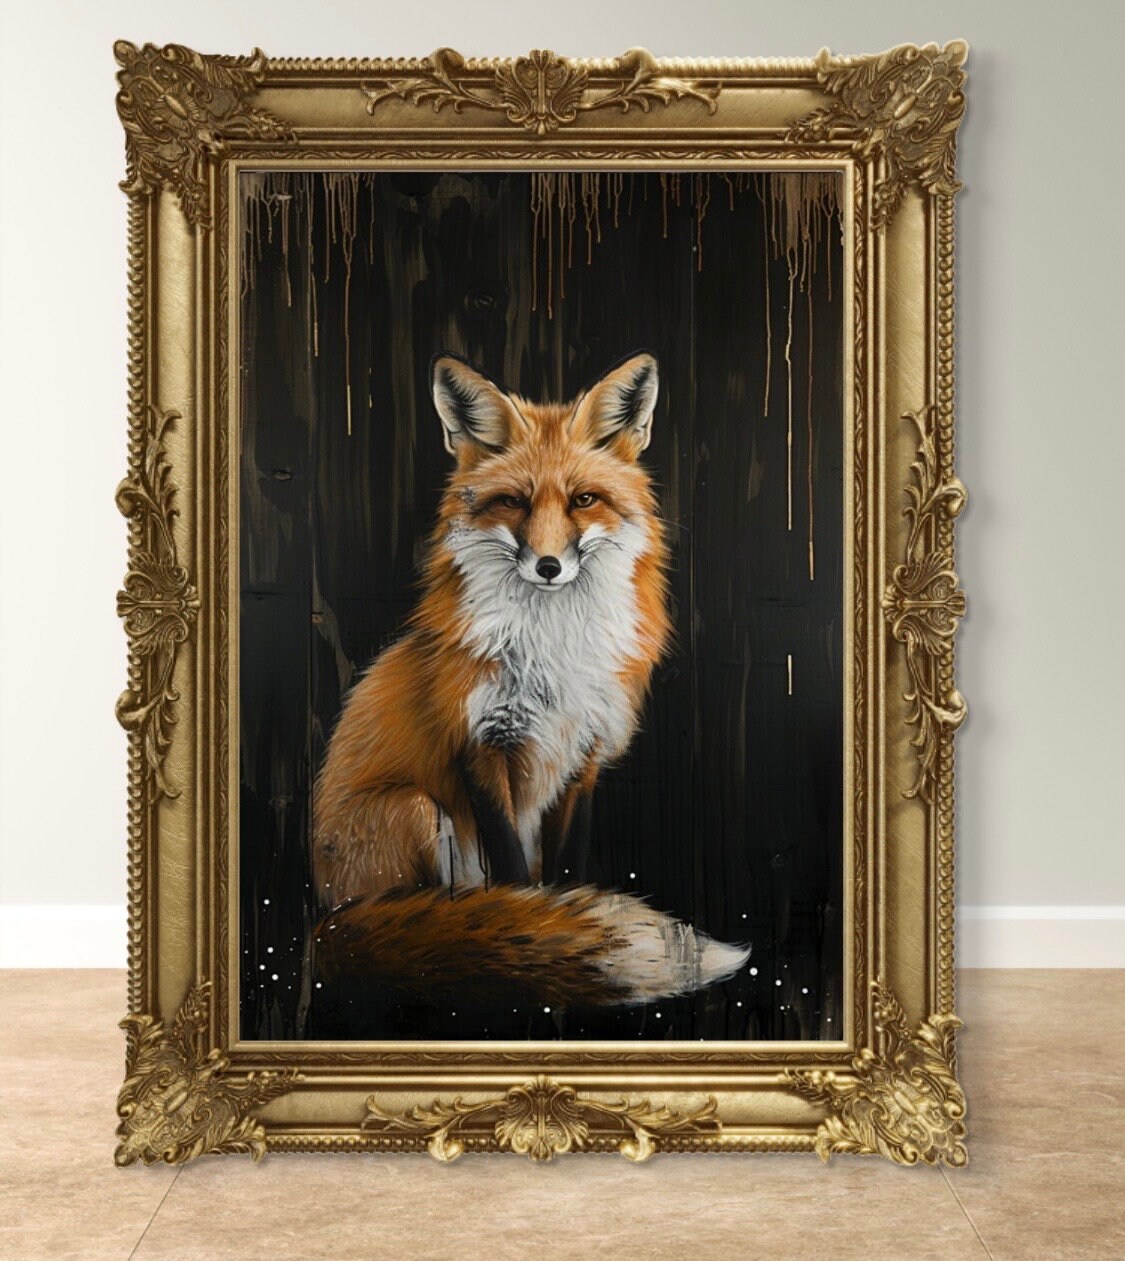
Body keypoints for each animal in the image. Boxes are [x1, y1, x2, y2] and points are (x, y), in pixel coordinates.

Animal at [311, 351, 749, 1008]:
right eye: (514, 502)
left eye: (584, 499)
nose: (547, 567)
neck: (554, 650)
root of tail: (327, 922)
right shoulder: (479, 744)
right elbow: (515, 880)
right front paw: (535, 937)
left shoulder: (586, 752)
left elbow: (564, 871)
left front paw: (557, 928)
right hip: (414, 809)